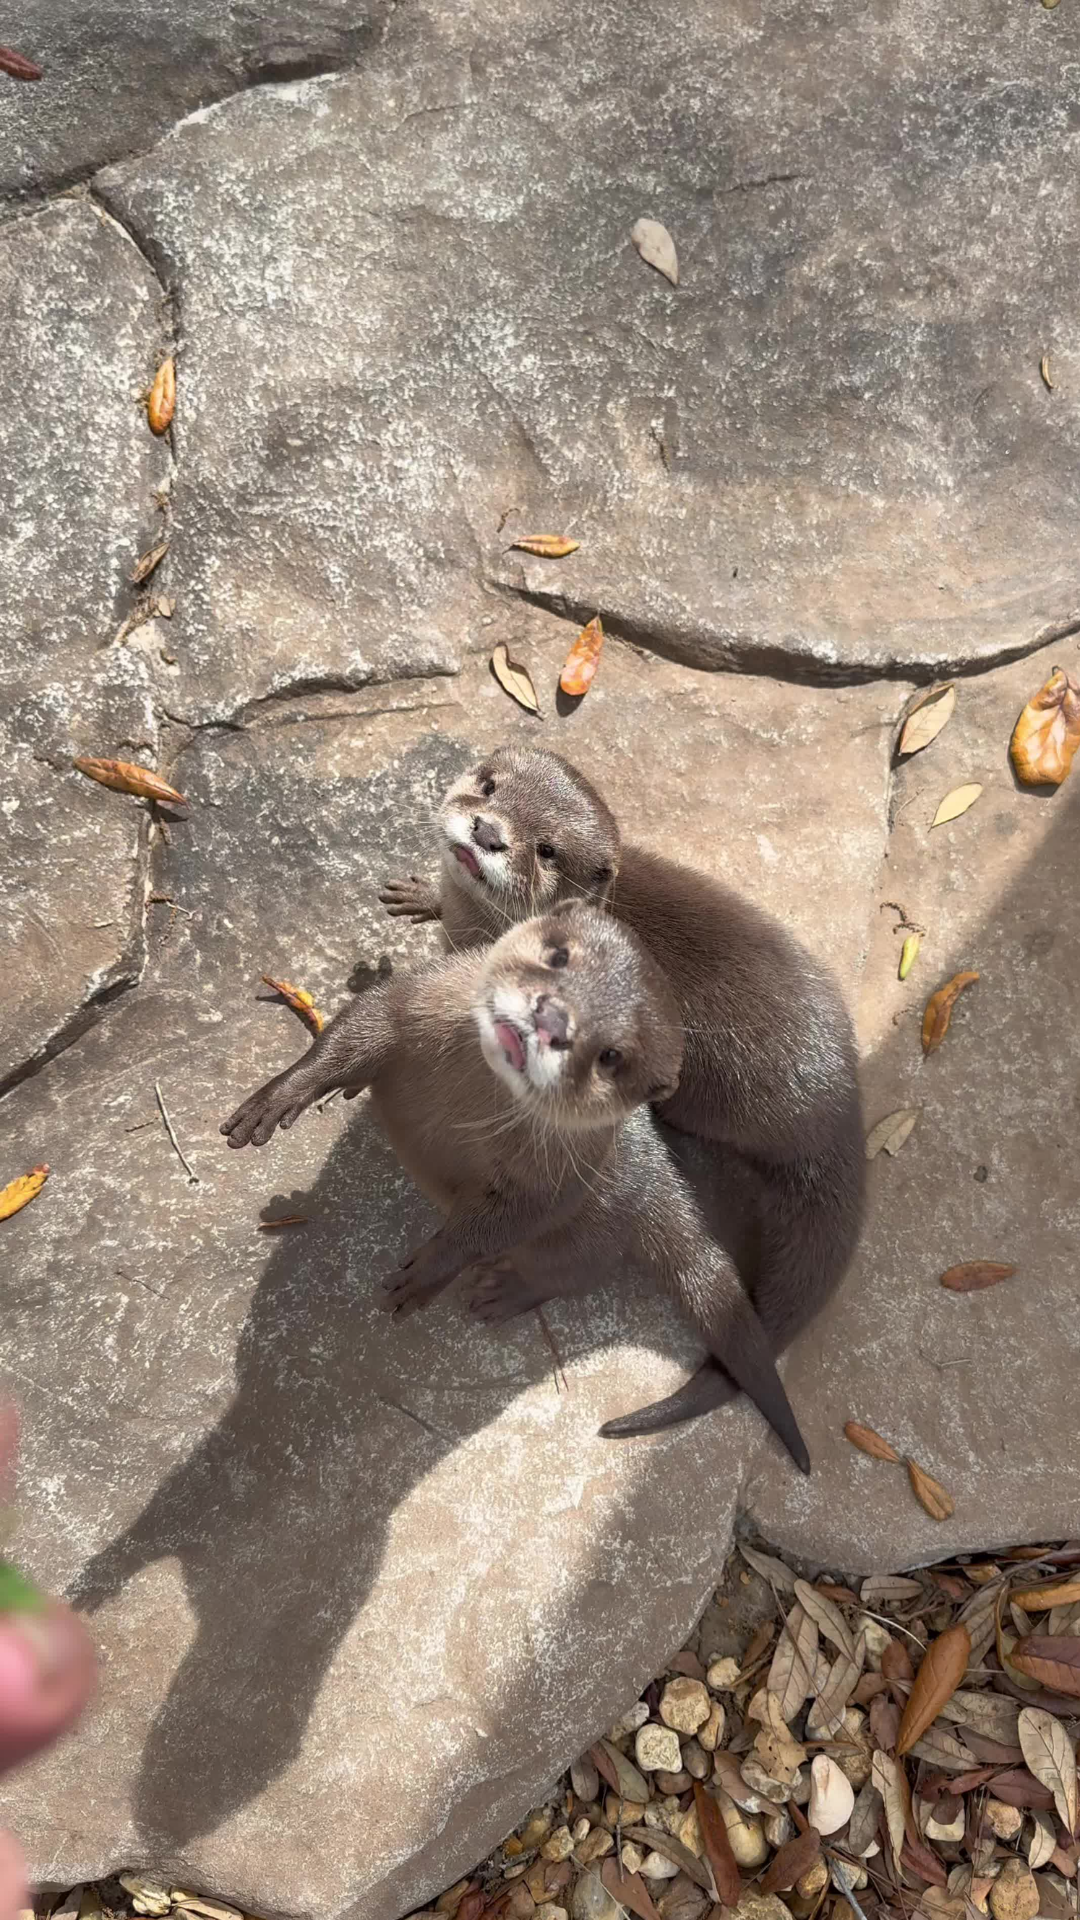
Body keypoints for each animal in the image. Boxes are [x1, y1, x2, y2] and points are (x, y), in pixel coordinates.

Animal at [221, 903, 810, 1473]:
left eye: (611, 1056)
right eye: (559, 957)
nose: (550, 1017)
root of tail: (656, 1179)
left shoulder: (550, 1178)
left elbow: (502, 1219)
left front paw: (429, 1272)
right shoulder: (416, 997)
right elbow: (361, 1025)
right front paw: (281, 1096)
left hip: (591, 1230)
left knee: (570, 1272)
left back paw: (504, 1292)